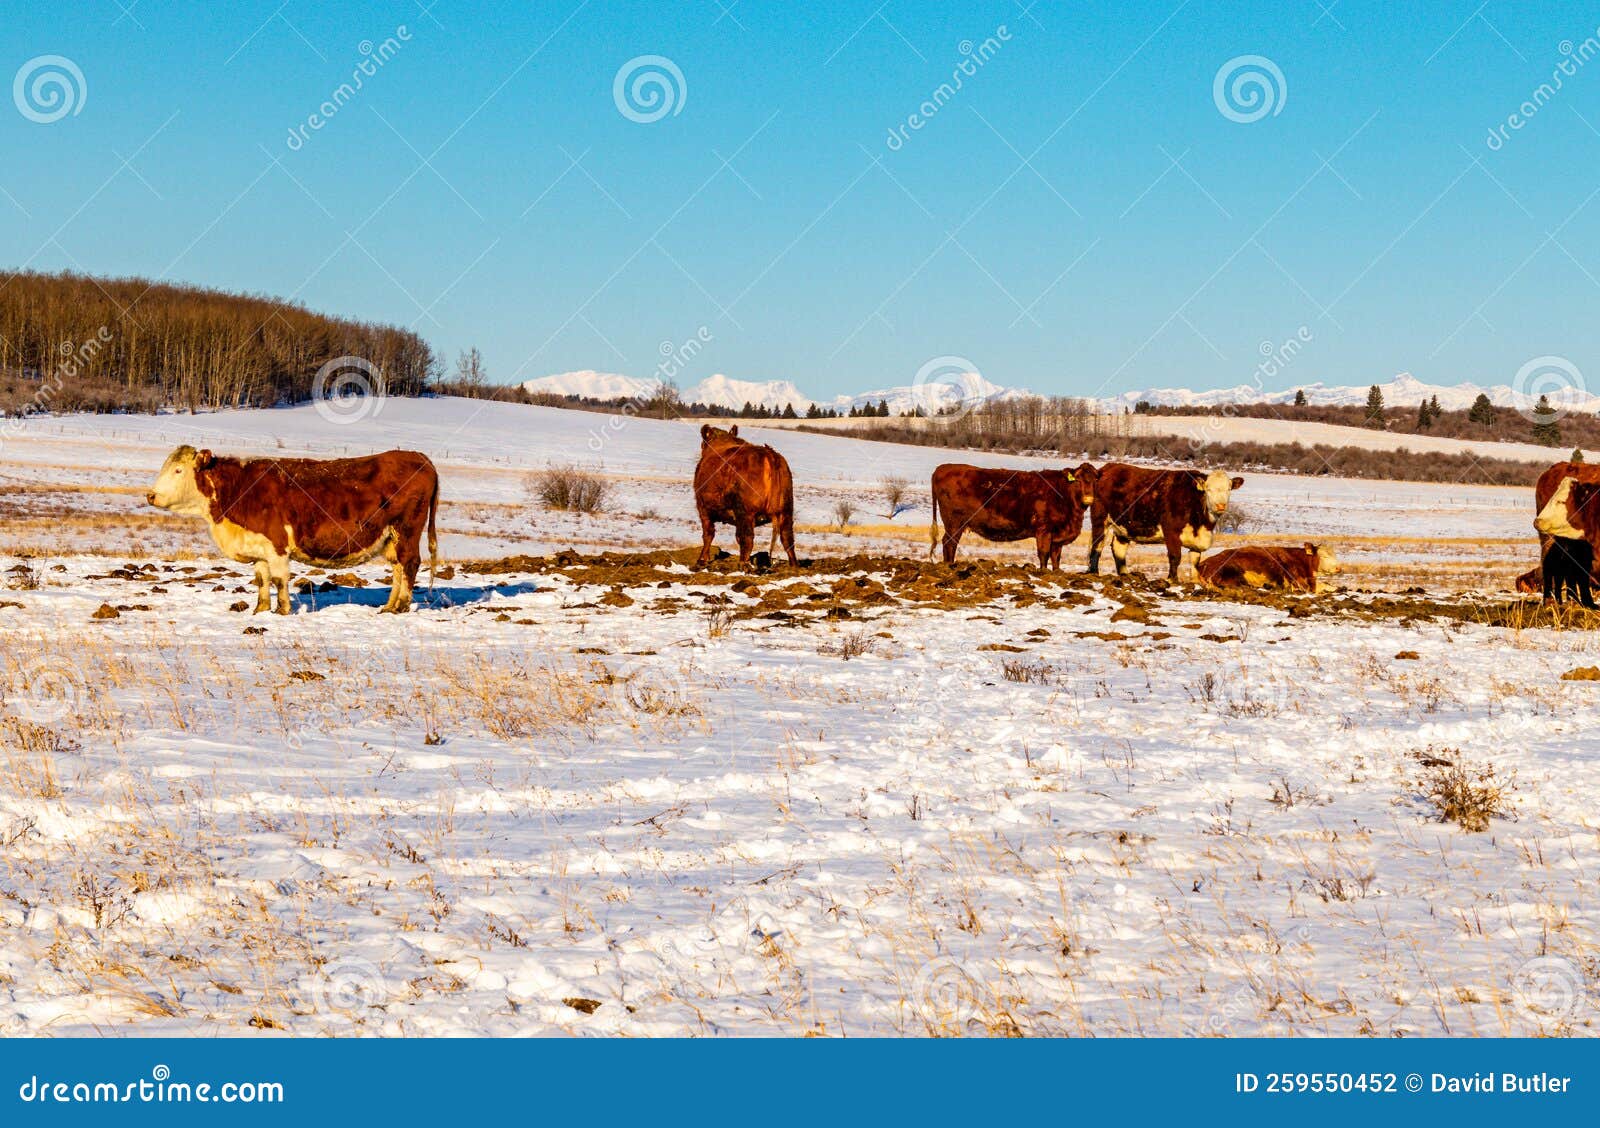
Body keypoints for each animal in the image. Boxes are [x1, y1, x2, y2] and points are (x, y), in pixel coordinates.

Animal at [146, 445, 439, 614]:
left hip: (407, 530)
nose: (150, 495)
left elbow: (279, 580)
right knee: (398, 567)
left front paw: (282, 610)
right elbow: (262, 580)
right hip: (391, 537)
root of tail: (418, 457)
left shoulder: (276, 545)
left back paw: (402, 606)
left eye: (178, 470)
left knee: (410, 564)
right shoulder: (259, 547)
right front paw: (260, 610)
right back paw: (389, 606)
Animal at [693, 424, 797, 568]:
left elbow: (708, 534)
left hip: (746, 512)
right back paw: (794, 566)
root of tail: (769, 453)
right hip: (786, 511)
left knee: (747, 538)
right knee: (787, 539)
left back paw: (743, 564)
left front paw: (702, 560)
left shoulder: (703, 508)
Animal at [928, 463, 1097, 569]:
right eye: (1078, 480)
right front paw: (1043, 572)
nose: (1089, 498)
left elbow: (1056, 557)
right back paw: (949, 566)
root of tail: (942, 468)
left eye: (1095, 479)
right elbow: (1044, 554)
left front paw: (1056, 573)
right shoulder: (1043, 529)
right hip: (954, 523)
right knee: (949, 543)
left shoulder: (1058, 536)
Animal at [1088, 464, 1243, 580]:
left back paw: (1125, 575)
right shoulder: (1171, 531)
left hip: (1124, 526)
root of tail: (1106, 468)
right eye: (1208, 489)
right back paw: (1094, 572)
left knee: (1118, 549)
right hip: (1100, 518)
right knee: (1097, 545)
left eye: (1228, 489)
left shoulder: (1197, 542)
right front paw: (1172, 580)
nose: (1221, 505)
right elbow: (1175, 557)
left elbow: (1194, 562)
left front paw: (1195, 582)